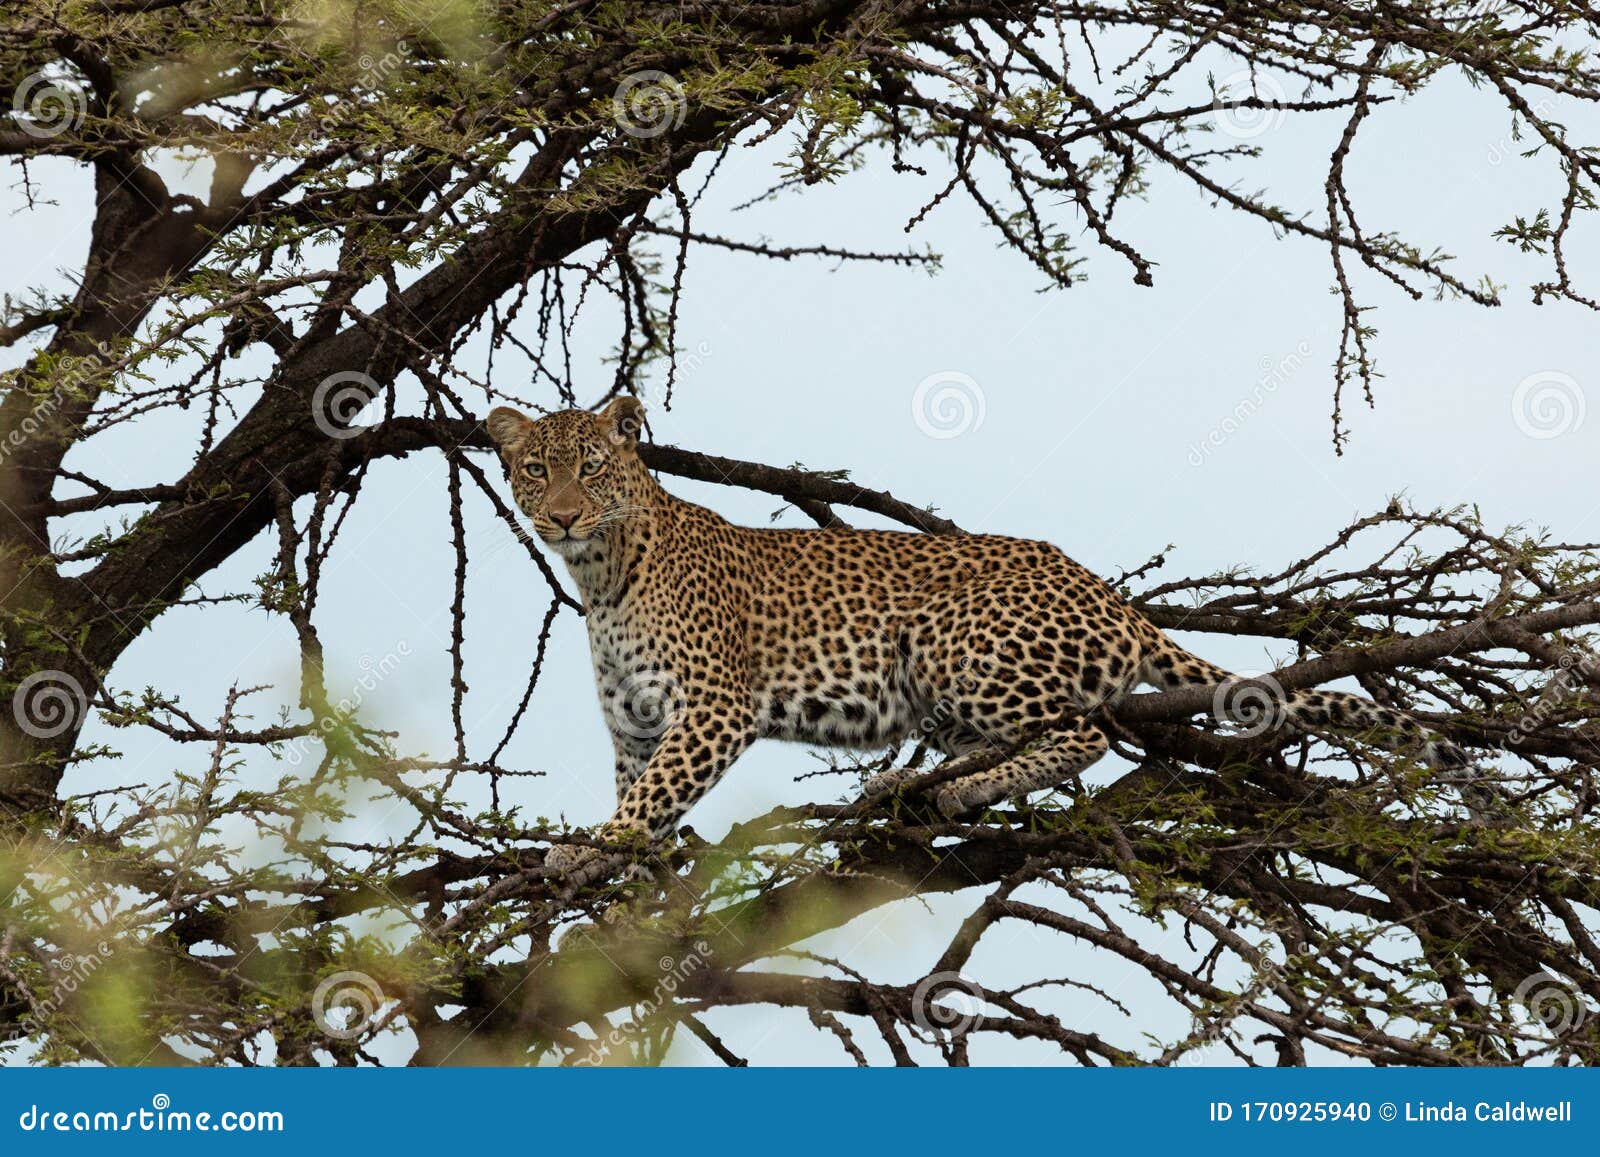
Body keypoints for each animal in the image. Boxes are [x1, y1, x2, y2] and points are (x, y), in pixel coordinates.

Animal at [485, 397, 1471, 874]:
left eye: (593, 468)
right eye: (534, 468)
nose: (562, 515)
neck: (603, 575)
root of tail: (1109, 594)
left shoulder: (714, 710)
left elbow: (652, 796)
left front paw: (591, 849)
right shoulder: (637, 725)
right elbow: (643, 791)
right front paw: (623, 873)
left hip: (950, 638)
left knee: (1083, 732)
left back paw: (953, 792)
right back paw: (918, 784)